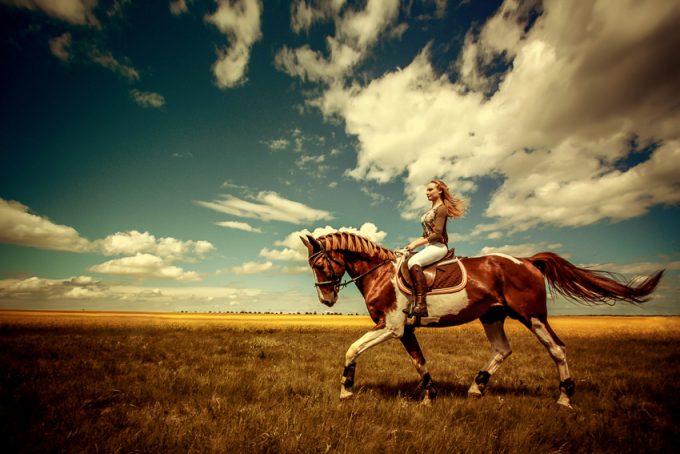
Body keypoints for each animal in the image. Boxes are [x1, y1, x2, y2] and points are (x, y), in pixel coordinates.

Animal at [300, 232, 663, 408]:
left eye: (318, 264)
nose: (326, 300)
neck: (380, 274)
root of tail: (527, 260)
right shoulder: (403, 330)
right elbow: (419, 361)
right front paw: (430, 395)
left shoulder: (391, 327)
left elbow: (352, 349)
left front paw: (346, 391)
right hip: (492, 316)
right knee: (502, 350)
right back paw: (476, 387)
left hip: (532, 316)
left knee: (557, 349)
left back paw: (565, 398)